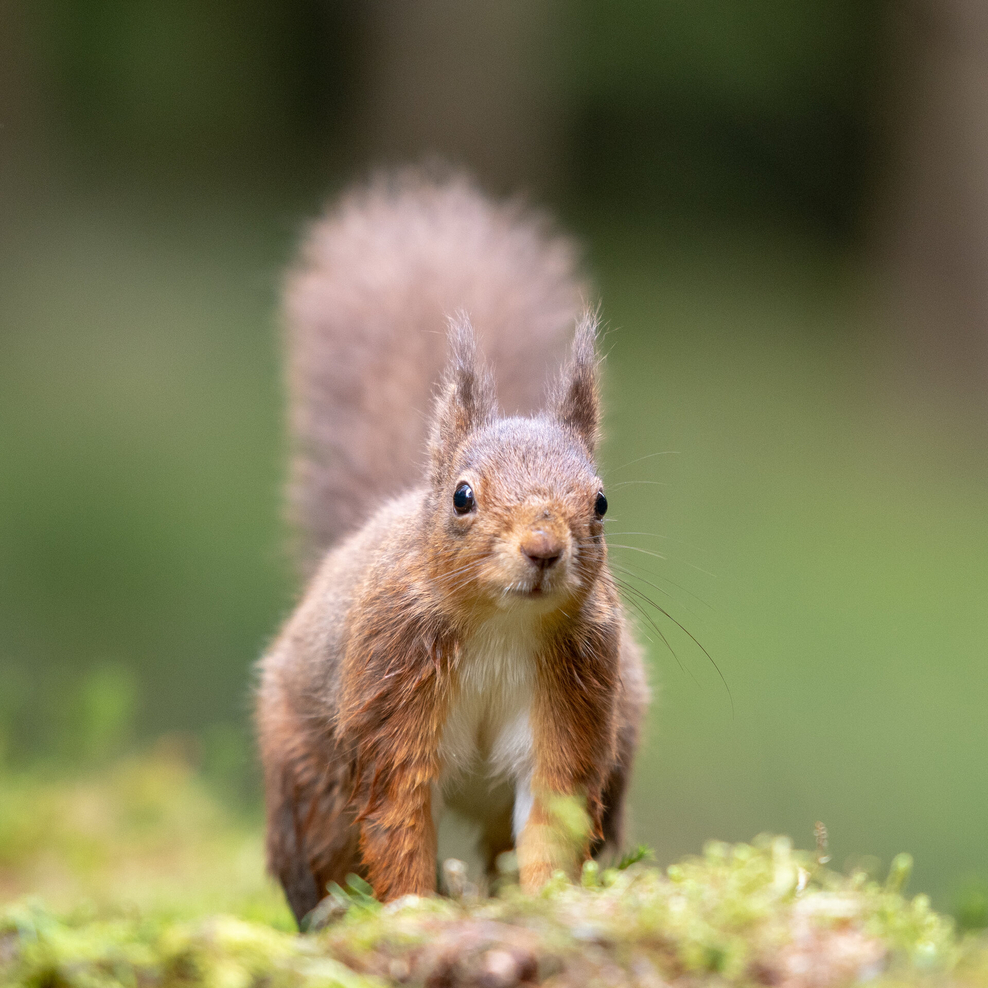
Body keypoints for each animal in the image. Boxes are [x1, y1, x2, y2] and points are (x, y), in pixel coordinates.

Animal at [255, 170, 648, 926]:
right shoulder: (392, 682)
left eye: (602, 503)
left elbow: (552, 813)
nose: (544, 549)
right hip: (307, 780)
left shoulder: (577, 692)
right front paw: (413, 911)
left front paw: (546, 903)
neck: (500, 624)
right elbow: (397, 813)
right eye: (463, 496)